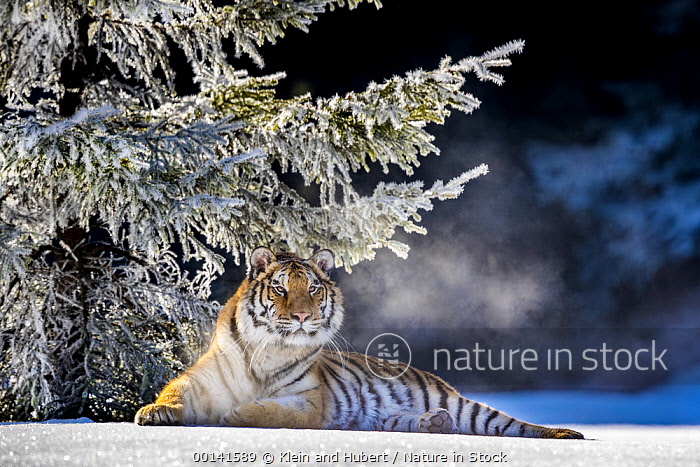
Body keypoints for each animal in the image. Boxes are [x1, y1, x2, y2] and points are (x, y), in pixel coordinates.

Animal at [135, 246, 583, 439]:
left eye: (313, 289)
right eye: (280, 288)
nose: (302, 316)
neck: (270, 348)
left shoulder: (310, 400)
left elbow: (274, 412)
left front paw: (237, 413)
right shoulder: (201, 377)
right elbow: (174, 390)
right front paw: (153, 412)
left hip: (464, 405)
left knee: (514, 424)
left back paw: (565, 434)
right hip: (387, 417)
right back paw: (433, 423)